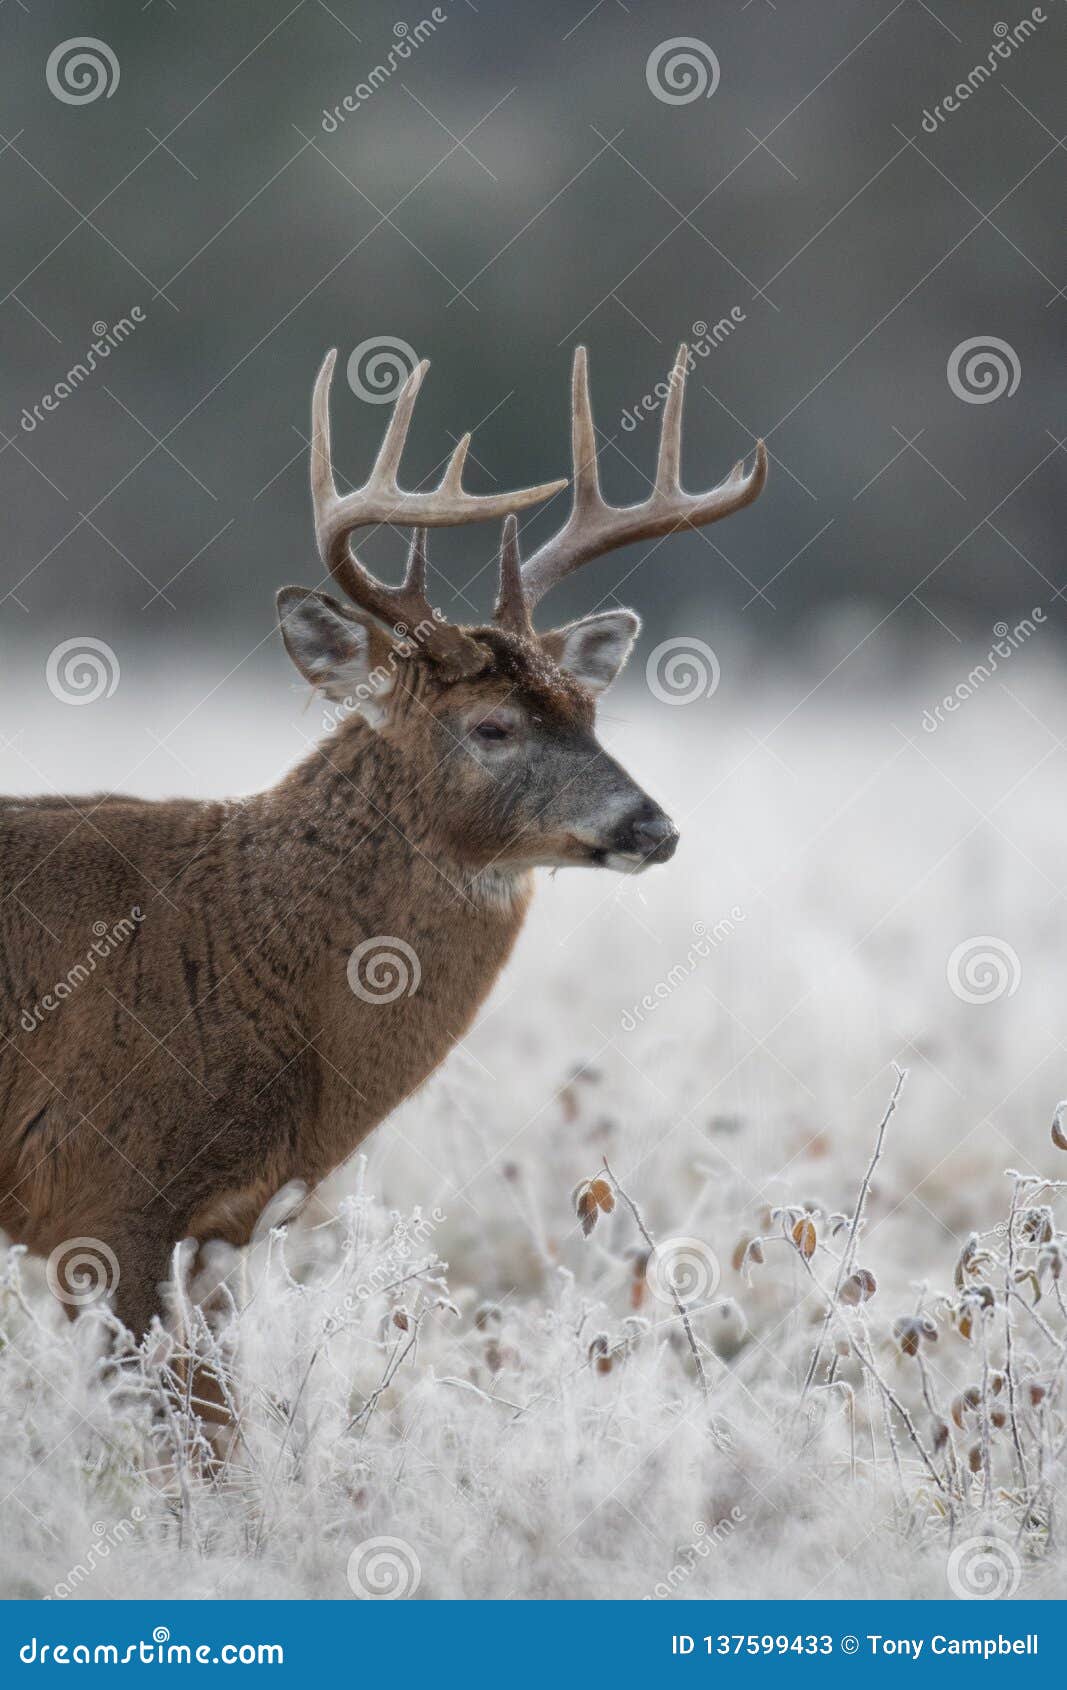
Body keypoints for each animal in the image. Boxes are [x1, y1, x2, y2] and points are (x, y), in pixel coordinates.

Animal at [0, 342, 766, 1367]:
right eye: (491, 726)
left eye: (588, 711)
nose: (654, 828)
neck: (228, 944)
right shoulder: (106, 1195)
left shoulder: (225, 1227)